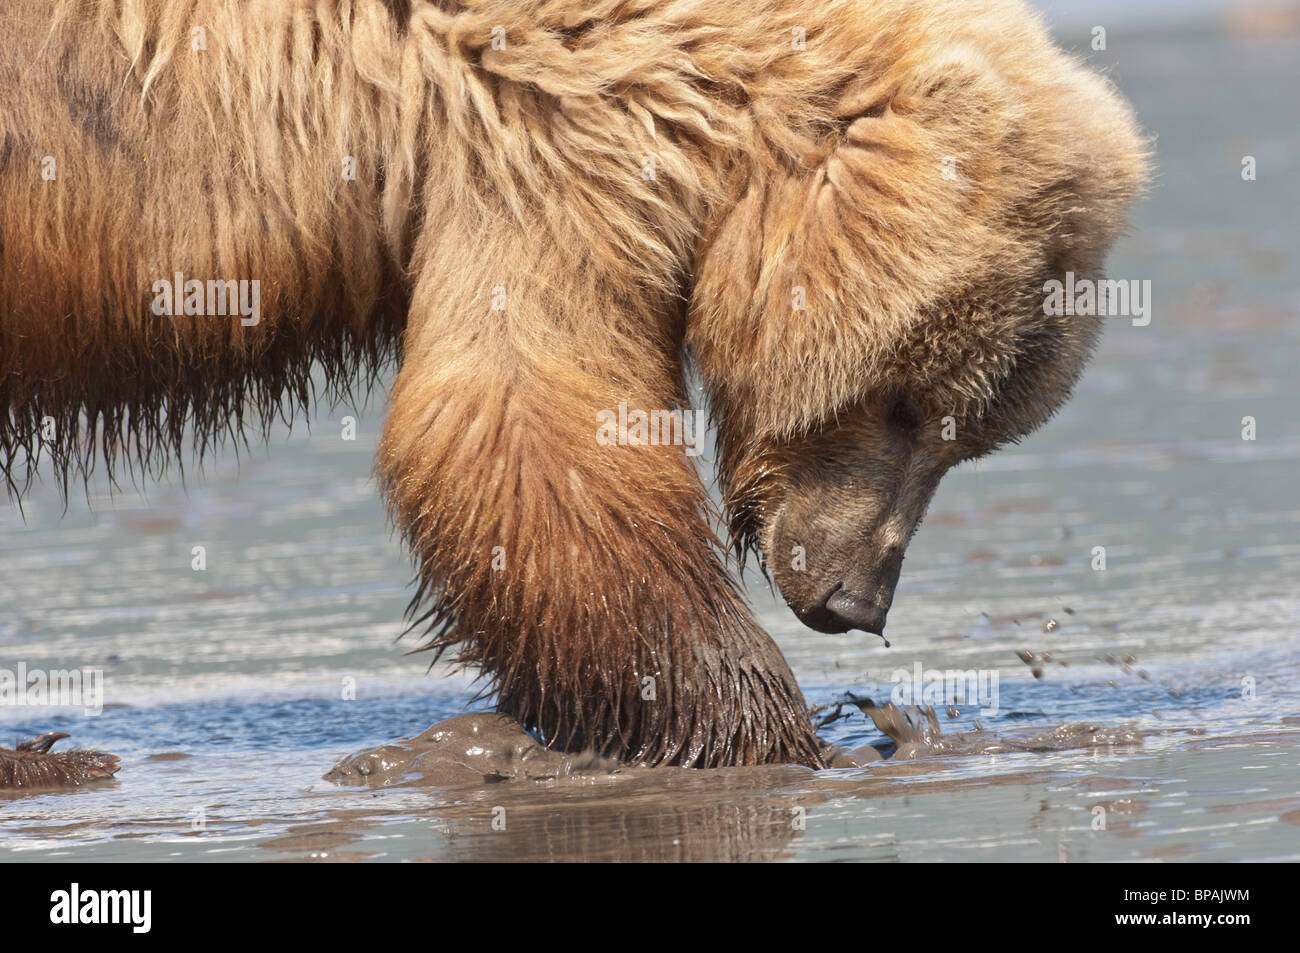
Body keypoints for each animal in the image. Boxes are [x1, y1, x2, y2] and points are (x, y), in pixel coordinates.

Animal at [0, 0, 1148, 786]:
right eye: (909, 400)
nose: (854, 601)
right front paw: (764, 721)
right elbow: (527, 431)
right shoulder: (540, 133)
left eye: (971, 434)